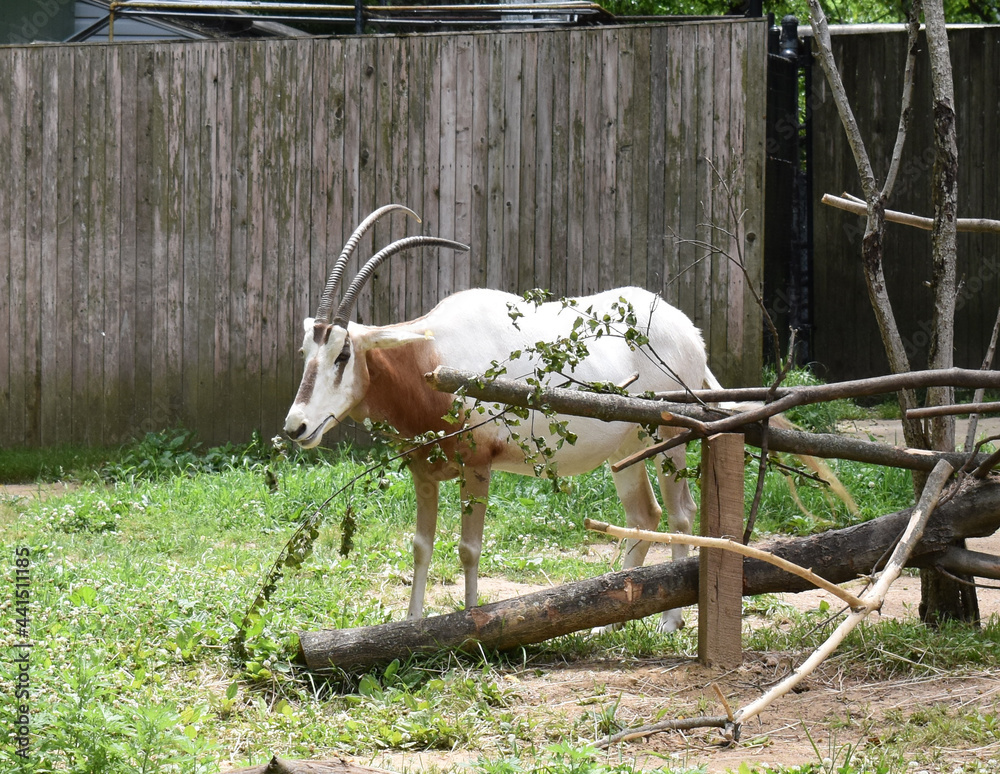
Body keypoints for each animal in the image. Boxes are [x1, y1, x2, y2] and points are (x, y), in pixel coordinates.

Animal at [285, 205, 727, 632]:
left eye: (342, 354)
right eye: (305, 351)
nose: (296, 427)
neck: (429, 357)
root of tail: (689, 331)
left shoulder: (477, 466)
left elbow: (468, 548)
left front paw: (473, 626)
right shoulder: (424, 472)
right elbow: (421, 545)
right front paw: (411, 625)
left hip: (668, 437)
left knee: (680, 513)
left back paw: (670, 621)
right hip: (626, 450)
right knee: (643, 515)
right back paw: (608, 625)